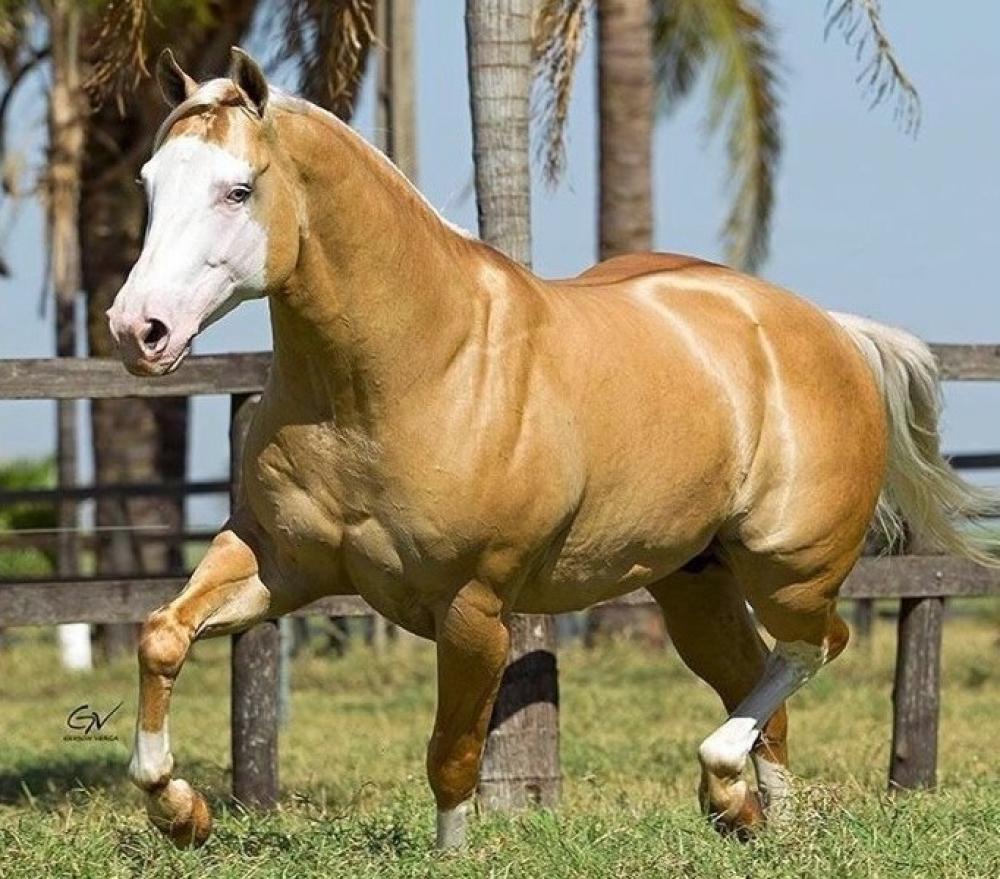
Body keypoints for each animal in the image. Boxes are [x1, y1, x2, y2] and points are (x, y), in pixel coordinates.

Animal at [107, 47, 998, 849]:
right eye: (148, 184)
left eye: (238, 189)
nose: (137, 329)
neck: (413, 370)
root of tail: (830, 330)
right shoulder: (276, 561)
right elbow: (160, 634)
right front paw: (181, 811)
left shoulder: (473, 606)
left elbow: (452, 756)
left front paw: (451, 857)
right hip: (695, 584)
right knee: (760, 687)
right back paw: (754, 813)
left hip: (790, 569)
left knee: (814, 647)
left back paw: (728, 787)